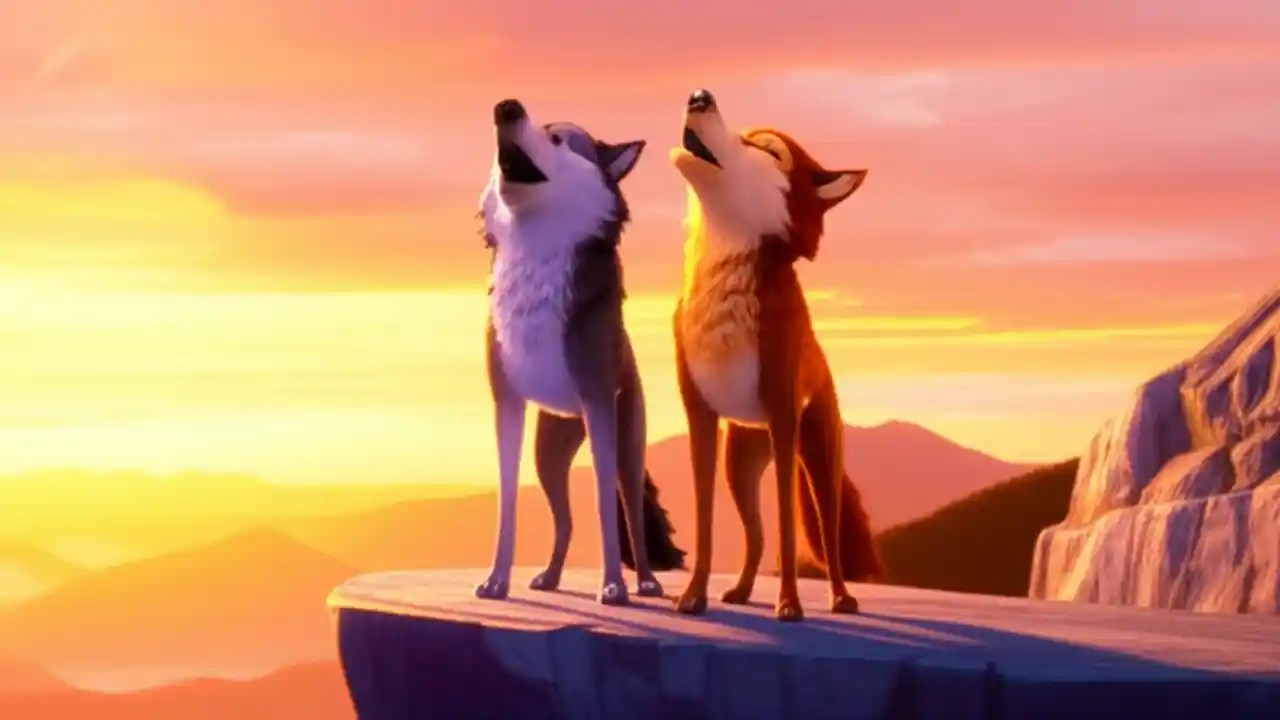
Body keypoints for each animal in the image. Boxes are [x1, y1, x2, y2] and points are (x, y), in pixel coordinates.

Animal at [475, 98, 685, 606]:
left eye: (556, 139)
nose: (506, 107)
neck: (536, 256)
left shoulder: (597, 401)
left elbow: (606, 508)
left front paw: (613, 587)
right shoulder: (506, 402)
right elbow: (508, 500)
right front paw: (496, 581)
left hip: (626, 444)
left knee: (629, 513)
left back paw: (645, 581)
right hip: (547, 457)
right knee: (564, 521)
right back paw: (550, 578)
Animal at [669, 89, 883, 621]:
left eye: (767, 150)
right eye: (743, 136)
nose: (699, 95)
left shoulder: (783, 414)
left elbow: (789, 528)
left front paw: (789, 604)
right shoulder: (699, 414)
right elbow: (706, 523)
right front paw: (693, 596)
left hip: (818, 457)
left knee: (825, 535)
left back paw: (841, 598)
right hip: (739, 464)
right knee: (756, 535)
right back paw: (742, 590)